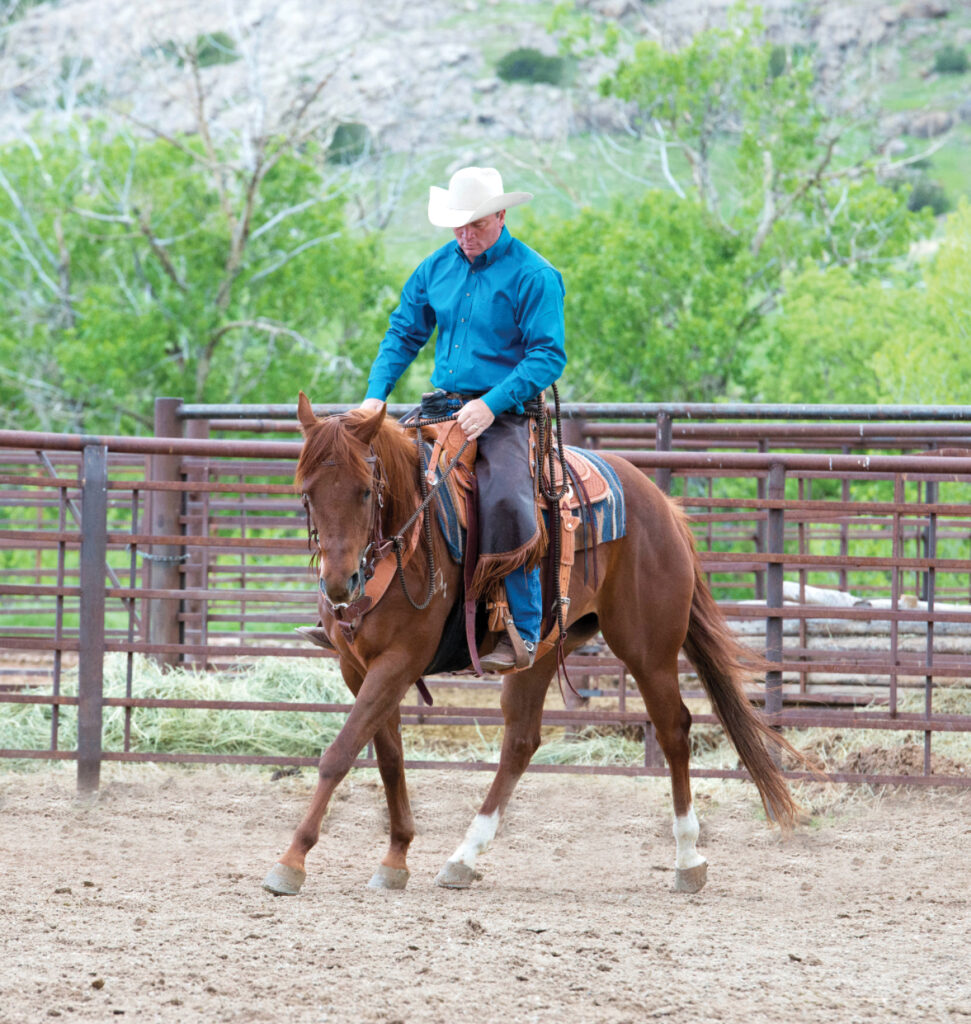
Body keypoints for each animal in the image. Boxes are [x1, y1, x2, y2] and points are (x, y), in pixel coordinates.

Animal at [261, 392, 801, 896]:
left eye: (363, 490)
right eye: (307, 492)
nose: (340, 585)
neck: (409, 540)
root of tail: (662, 505)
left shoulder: (398, 662)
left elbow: (339, 753)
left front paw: (291, 861)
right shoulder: (359, 667)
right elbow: (387, 758)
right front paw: (395, 858)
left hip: (648, 650)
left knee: (674, 730)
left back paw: (688, 859)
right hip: (539, 652)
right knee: (521, 742)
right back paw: (463, 857)